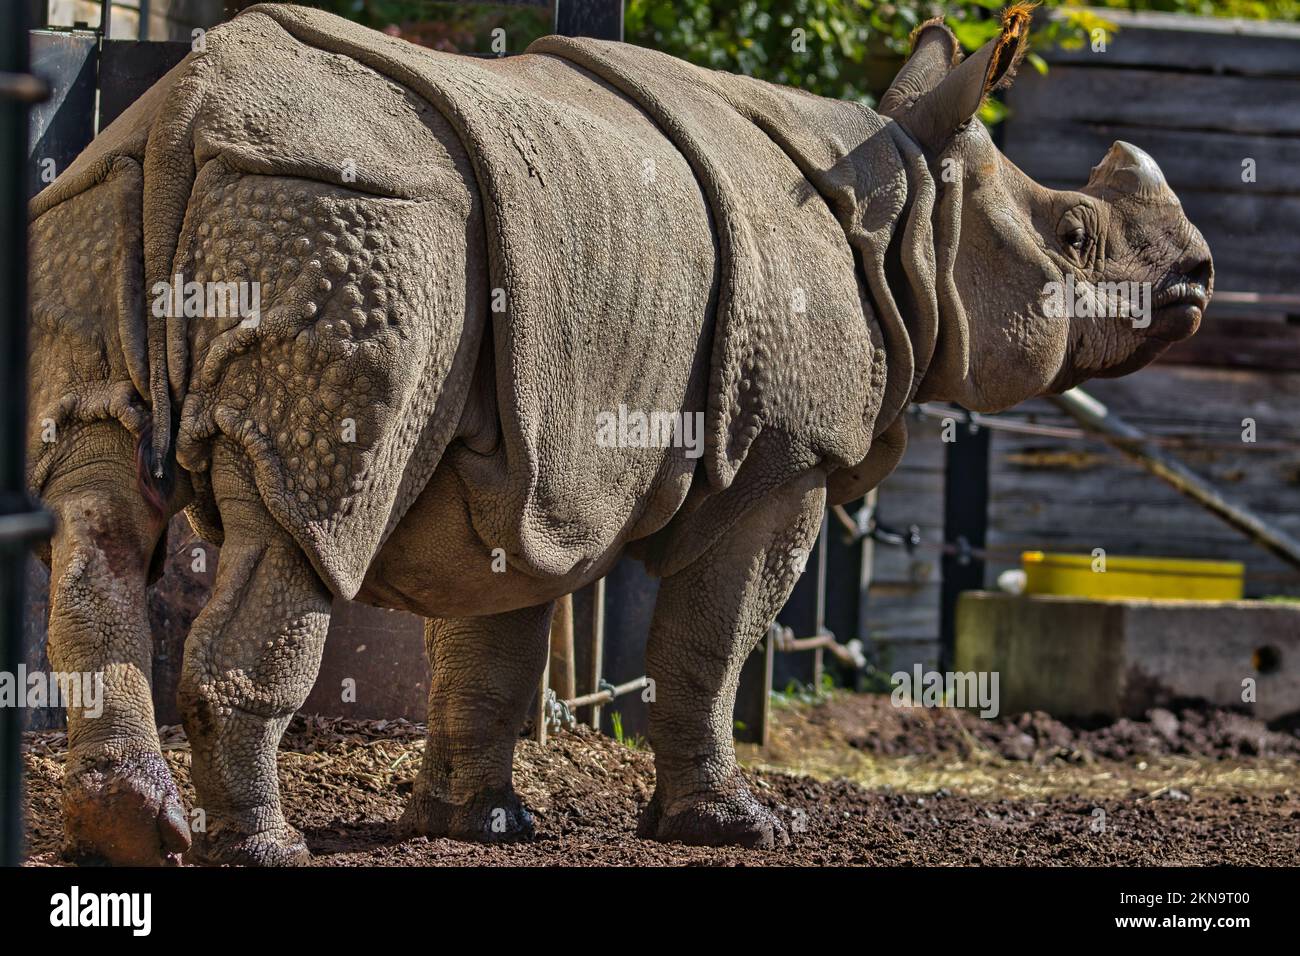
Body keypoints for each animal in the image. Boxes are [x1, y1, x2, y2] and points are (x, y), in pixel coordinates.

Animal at [26, 3, 1212, 865]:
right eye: (1073, 235)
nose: (1195, 279)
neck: (909, 211)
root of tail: (181, 113)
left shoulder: (536, 455)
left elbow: (491, 634)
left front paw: (475, 825)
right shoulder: (783, 459)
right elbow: (709, 644)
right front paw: (735, 828)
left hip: (100, 196)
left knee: (96, 500)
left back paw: (125, 834)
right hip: (355, 219)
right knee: (306, 518)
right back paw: (263, 850)